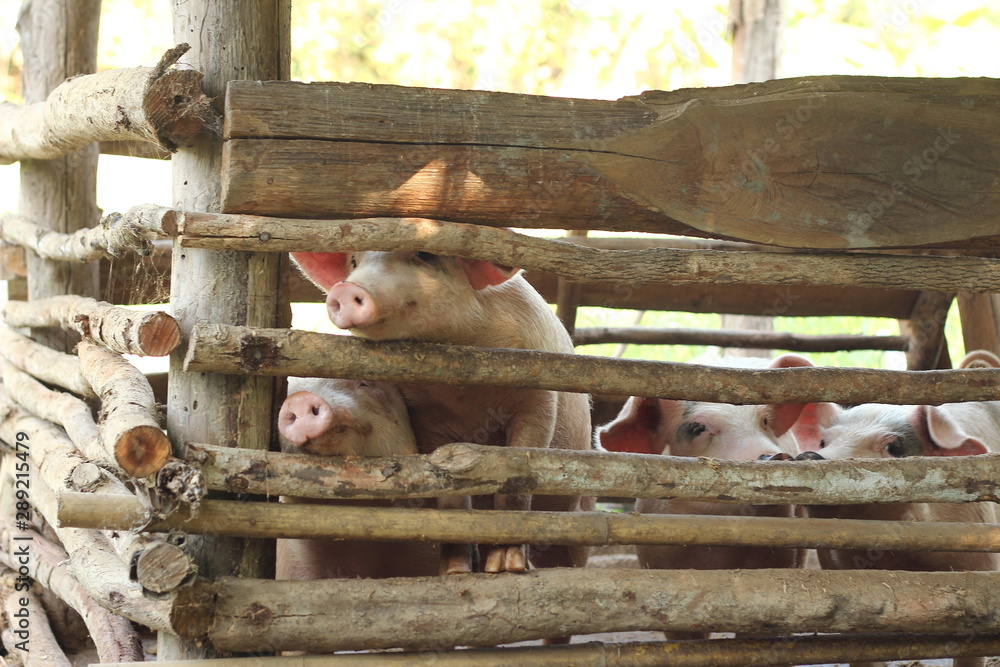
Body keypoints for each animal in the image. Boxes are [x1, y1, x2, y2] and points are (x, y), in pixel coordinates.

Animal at [291, 250, 592, 576]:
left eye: (425, 256)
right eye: (354, 263)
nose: (346, 288)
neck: (465, 398)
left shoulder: (538, 396)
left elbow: (519, 476)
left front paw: (506, 566)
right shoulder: (425, 418)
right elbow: (450, 494)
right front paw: (454, 570)